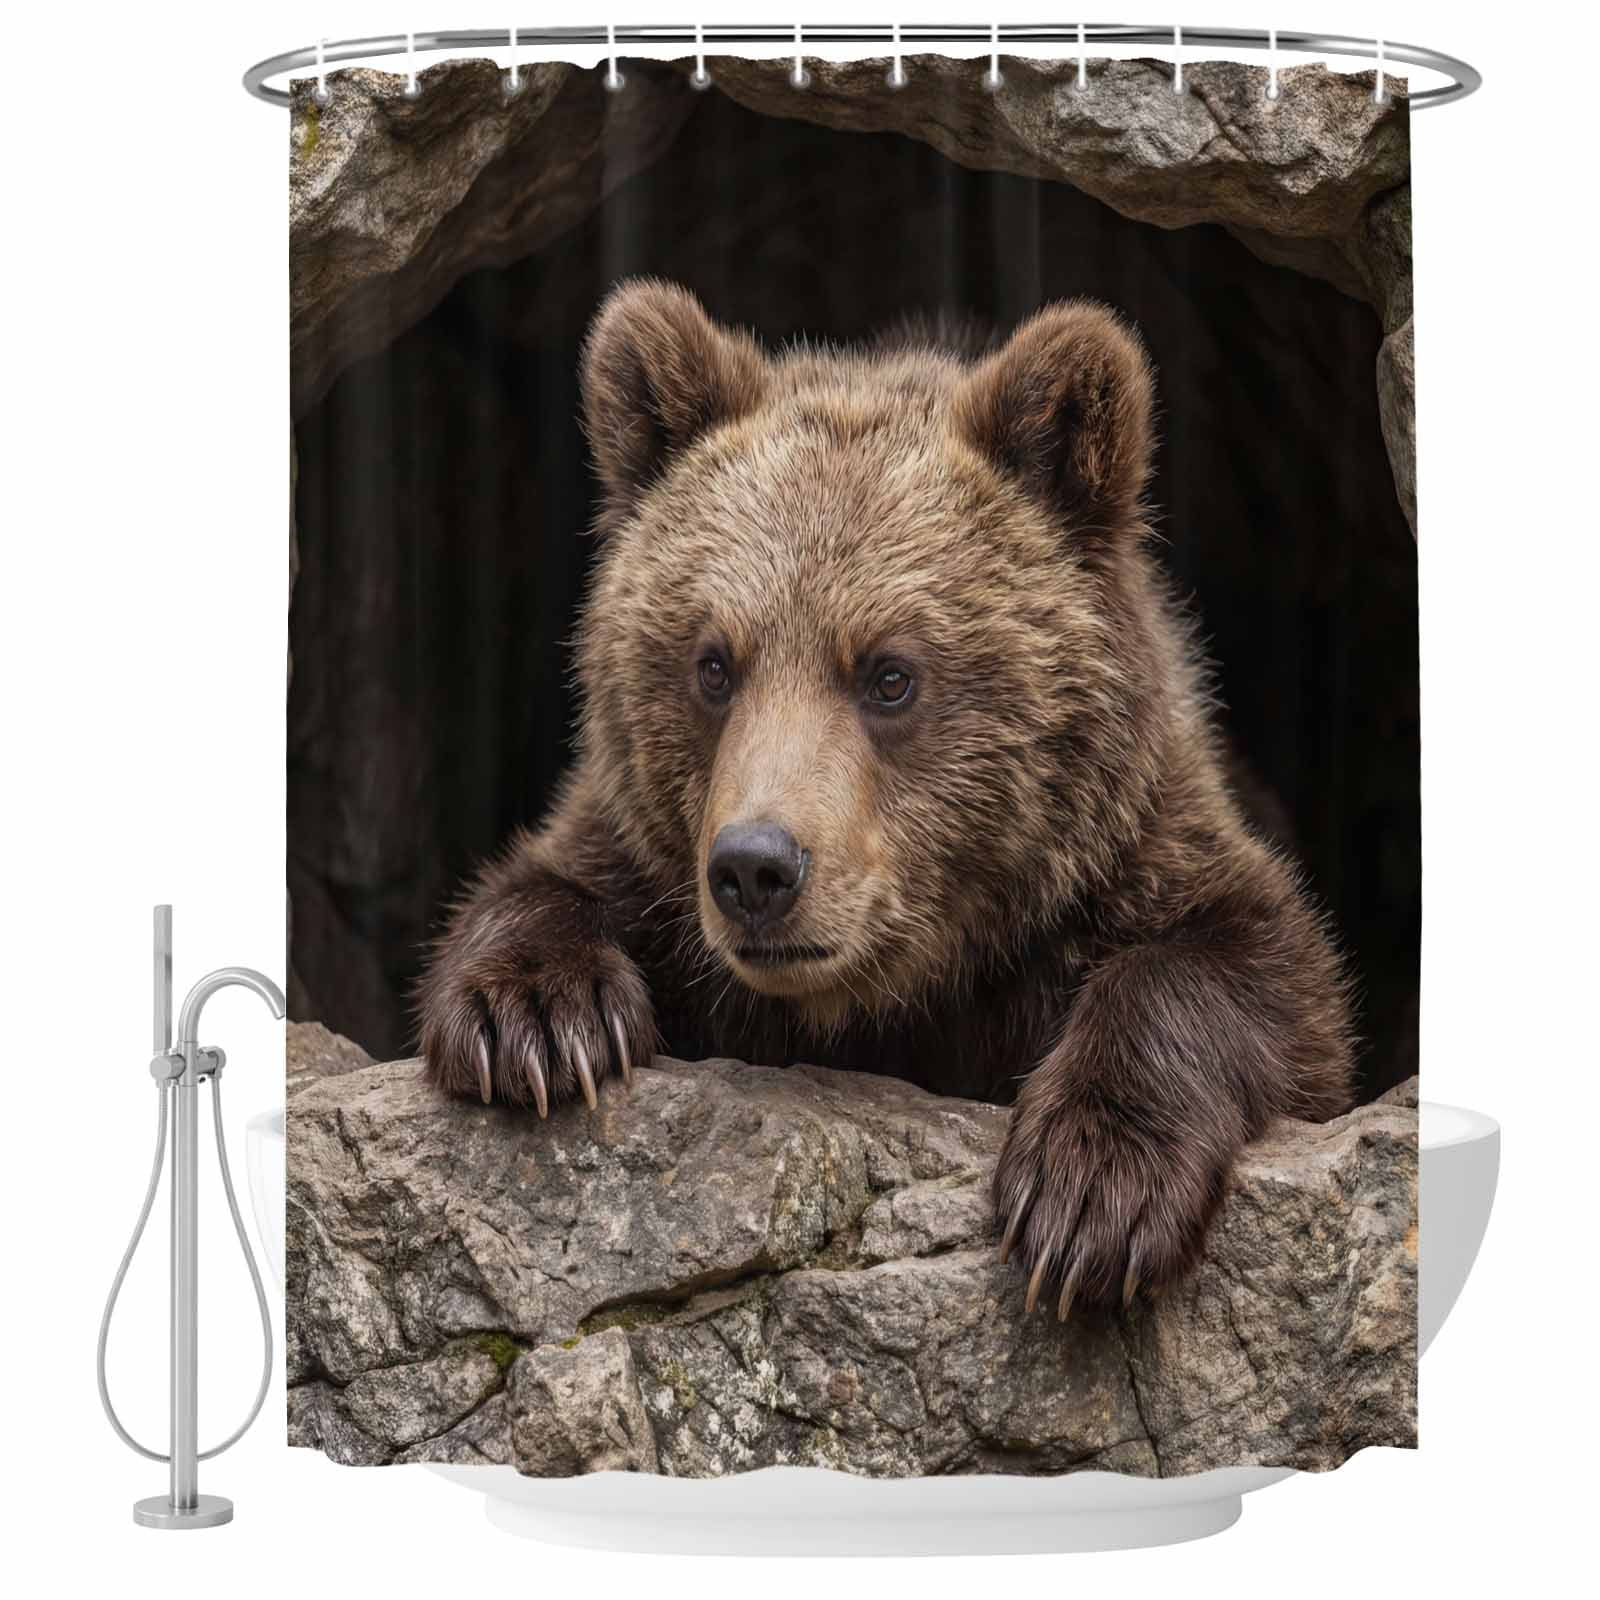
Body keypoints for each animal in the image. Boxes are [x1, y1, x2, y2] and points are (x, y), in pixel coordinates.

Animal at [417, 278, 1355, 1316]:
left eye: (890, 674)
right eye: (714, 663)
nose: (756, 868)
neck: (892, 996)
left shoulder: (1127, 859)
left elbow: (1252, 966)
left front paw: (1090, 1193)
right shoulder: (642, 854)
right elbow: (540, 887)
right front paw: (539, 1022)